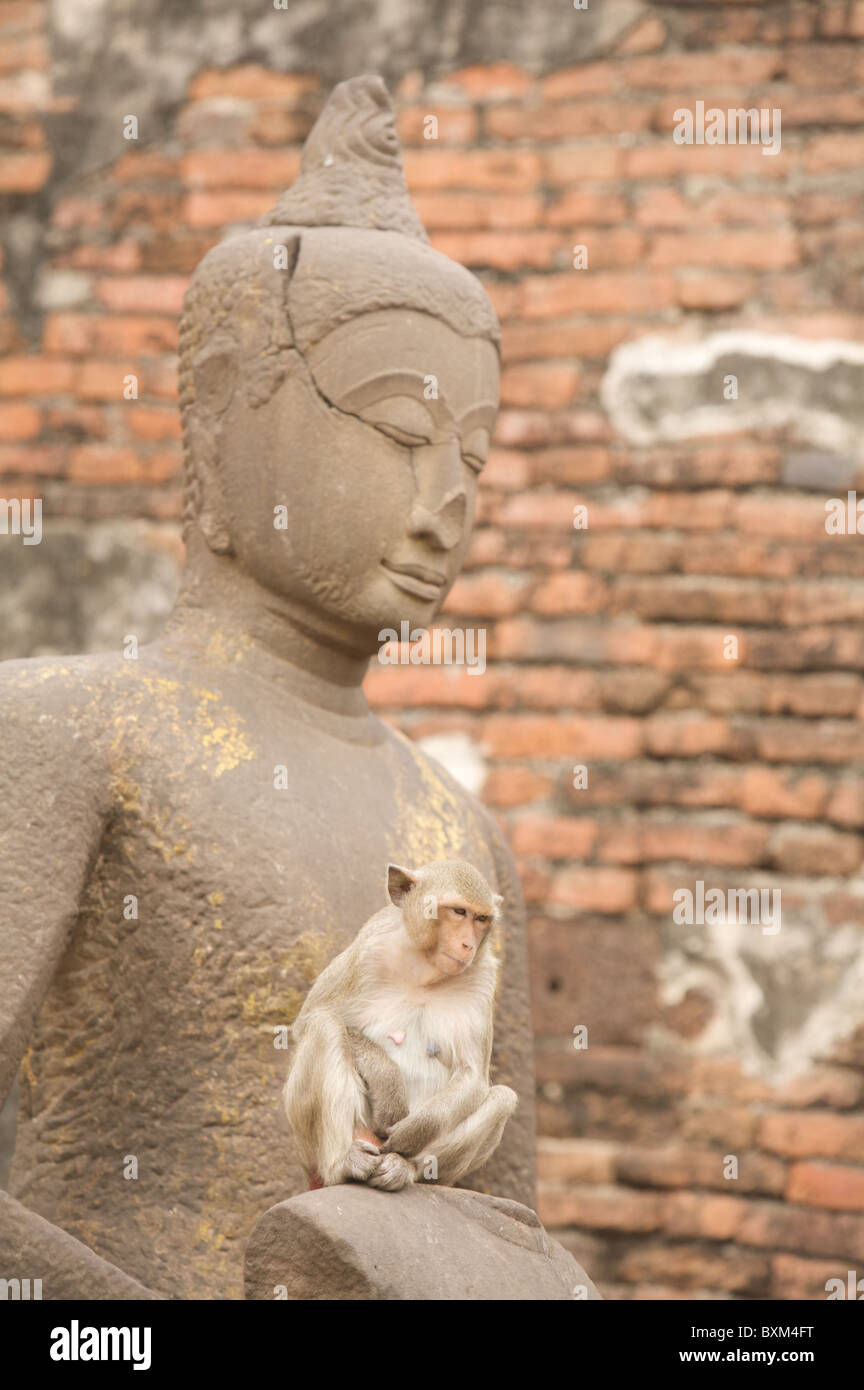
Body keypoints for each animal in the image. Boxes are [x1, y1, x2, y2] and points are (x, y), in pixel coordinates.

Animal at [283, 860, 518, 1192]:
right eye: (459, 911)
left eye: (482, 918)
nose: (468, 944)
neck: (425, 968)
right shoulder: (369, 948)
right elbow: (309, 1021)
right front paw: (387, 1082)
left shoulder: (483, 976)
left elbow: (472, 1076)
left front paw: (411, 1134)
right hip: (313, 1148)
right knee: (324, 1028)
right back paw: (341, 1166)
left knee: (502, 1098)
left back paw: (406, 1167)